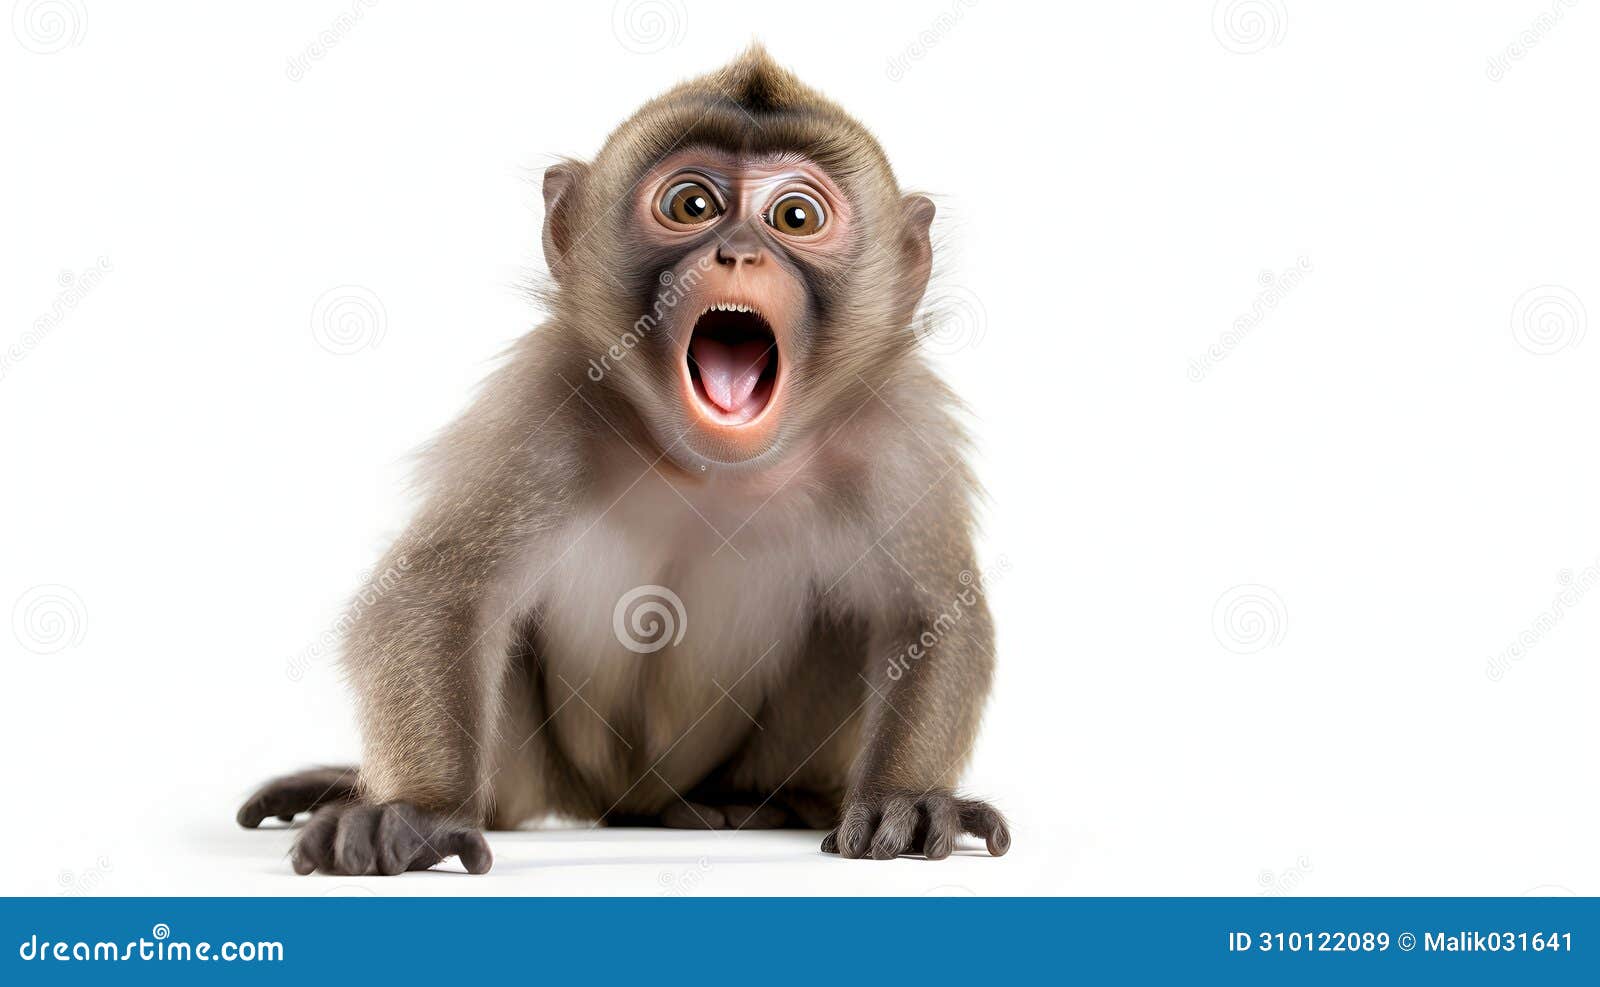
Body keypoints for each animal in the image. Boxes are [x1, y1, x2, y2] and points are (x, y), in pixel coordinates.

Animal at [237, 45, 1010, 876]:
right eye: (691, 205)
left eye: (795, 217)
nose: (738, 252)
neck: (708, 466)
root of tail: (625, 804)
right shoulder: (543, 399)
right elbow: (436, 596)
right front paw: (415, 811)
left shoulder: (897, 432)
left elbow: (925, 618)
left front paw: (905, 794)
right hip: (539, 775)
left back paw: (747, 802)